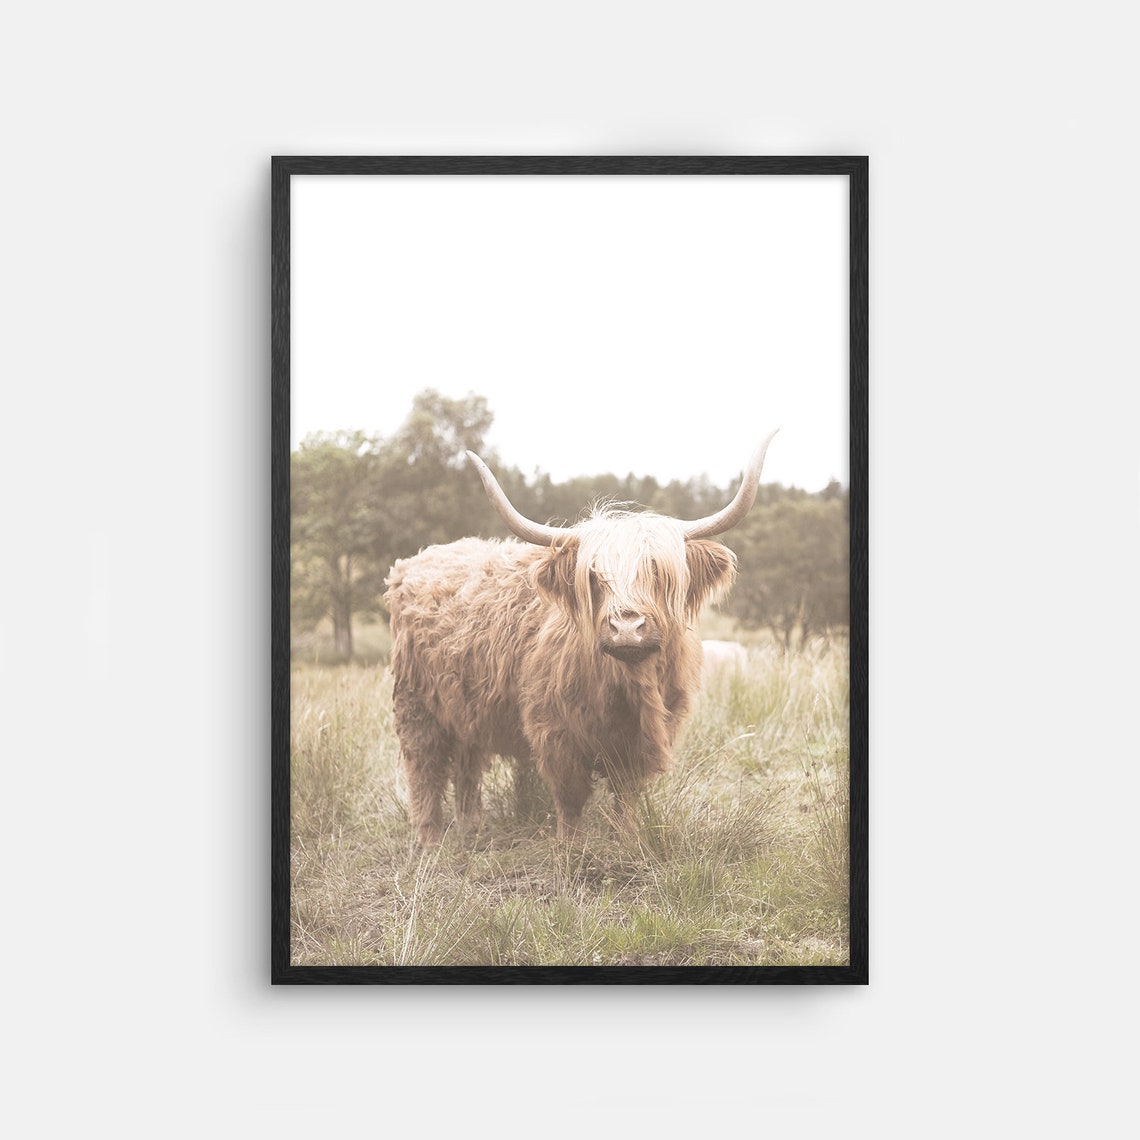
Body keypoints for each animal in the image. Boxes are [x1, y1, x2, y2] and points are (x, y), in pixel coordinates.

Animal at [384, 433, 777, 844]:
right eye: (593, 575)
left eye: (657, 571)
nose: (626, 628)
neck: (628, 689)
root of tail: (416, 560)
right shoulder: (555, 733)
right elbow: (570, 797)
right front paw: (572, 848)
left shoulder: (647, 737)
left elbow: (626, 796)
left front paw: (625, 840)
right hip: (416, 705)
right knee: (423, 768)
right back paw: (429, 840)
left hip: (465, 707)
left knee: (468, 764)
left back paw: (471, 828)